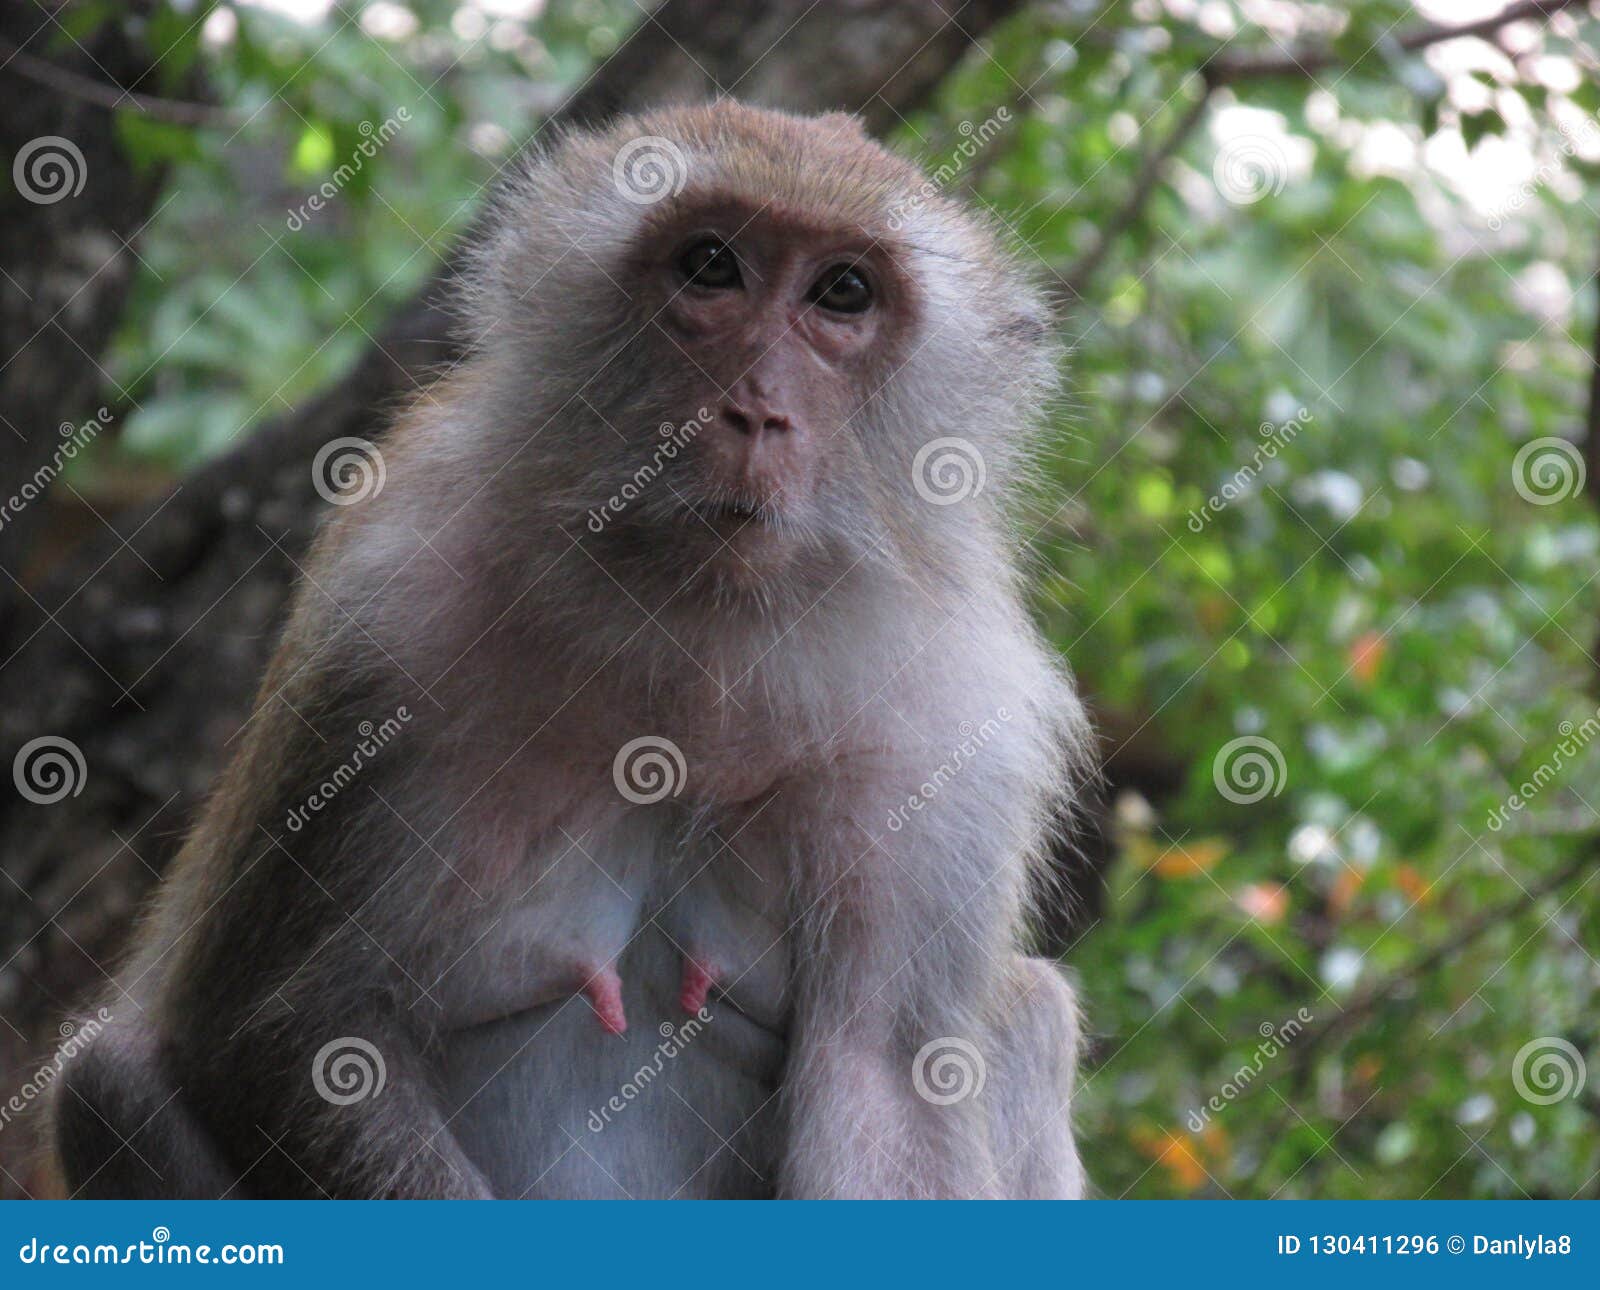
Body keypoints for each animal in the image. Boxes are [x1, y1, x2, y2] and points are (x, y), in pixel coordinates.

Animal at [50, 101, 1093, 1200]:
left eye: (843, 292)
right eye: (710, 266)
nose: (756, 412)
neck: (697, 641)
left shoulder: (957, 727)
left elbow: (890, 1079)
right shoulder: (381, 624)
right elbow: (285, 1033)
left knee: (1028, 1008)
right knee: (104, 1077)